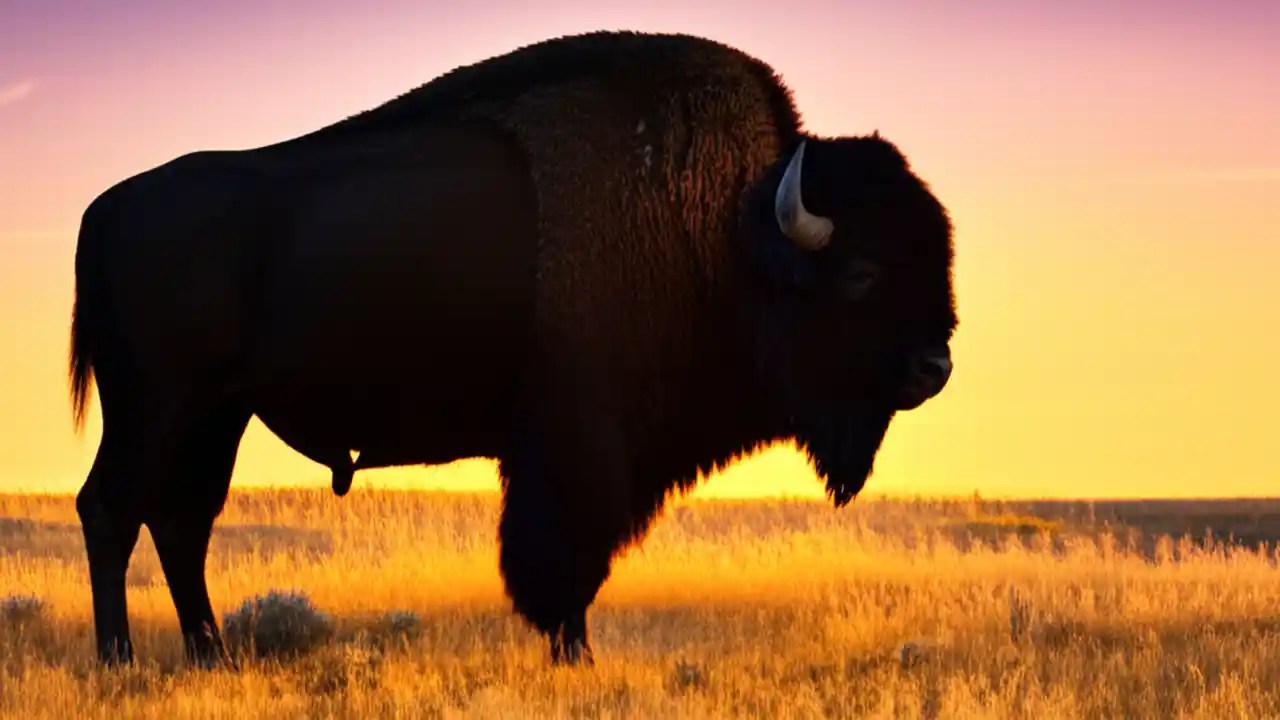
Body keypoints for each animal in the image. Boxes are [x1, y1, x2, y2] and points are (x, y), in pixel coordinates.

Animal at [68, 30, 957, 667]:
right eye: (862, 271)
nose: (936, 367)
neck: (725, 234)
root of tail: (103, 212)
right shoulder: (575, 449)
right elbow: (564, 559)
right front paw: (576, 656)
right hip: (156, 409)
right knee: (111, 508)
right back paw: (119, 662)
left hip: (217, 417)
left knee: (181, 522)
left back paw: (209, 656)